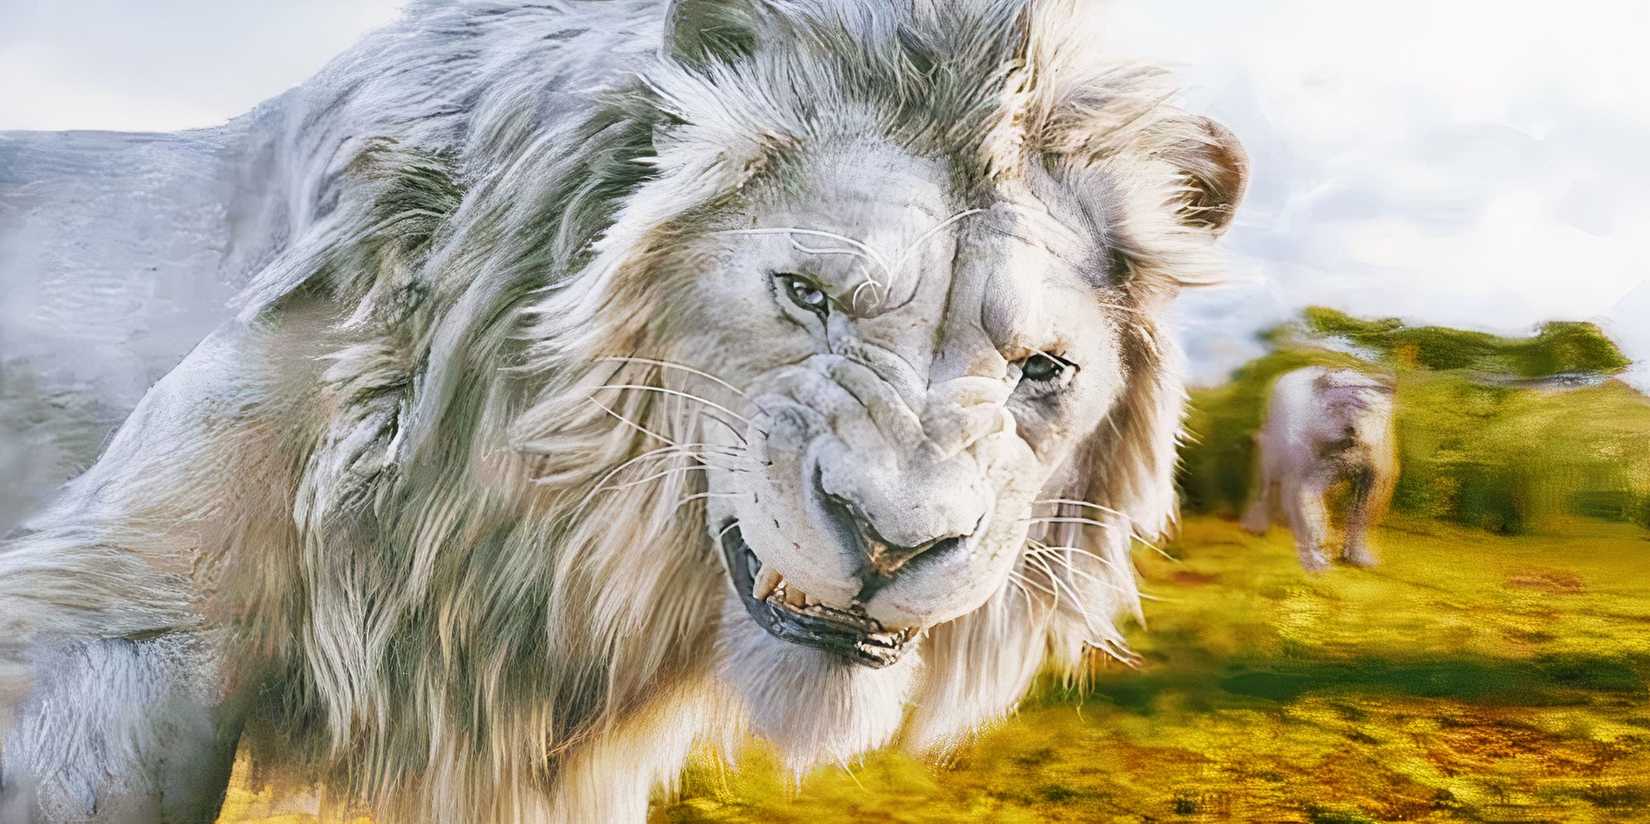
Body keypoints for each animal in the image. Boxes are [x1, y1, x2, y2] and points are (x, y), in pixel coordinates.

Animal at [1242, 367, 1398, 571]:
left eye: (1363, 405)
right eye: (1336, 406)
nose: (1350, 429)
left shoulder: (1373, 480)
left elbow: (1361, 517)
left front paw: (1358, 557)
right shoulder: (1310, 477)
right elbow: (1313, 516)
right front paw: (1317, 559)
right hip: (1274, 457)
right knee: (1266, 488)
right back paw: (1257, 525)